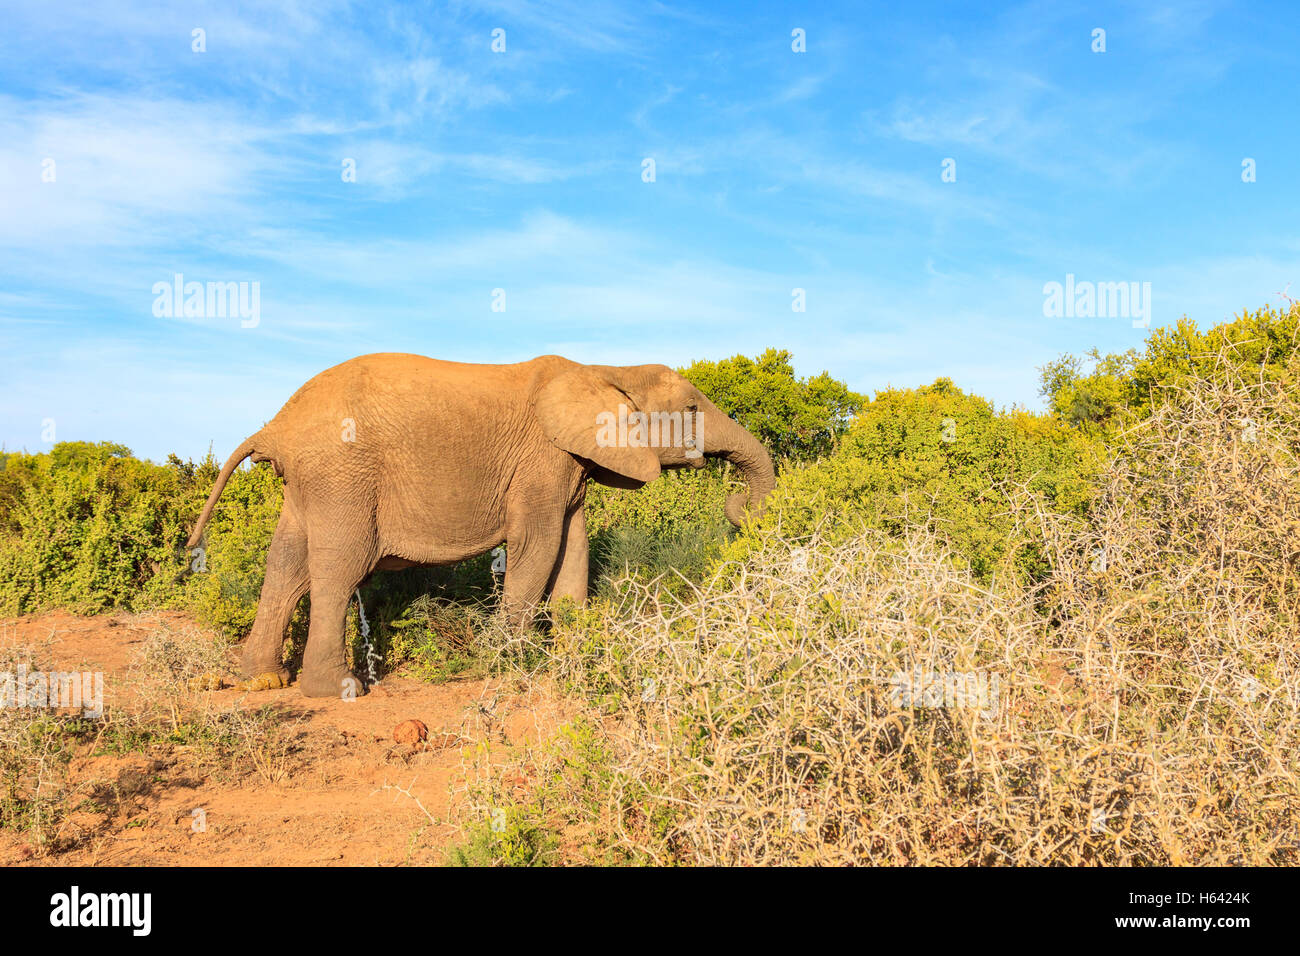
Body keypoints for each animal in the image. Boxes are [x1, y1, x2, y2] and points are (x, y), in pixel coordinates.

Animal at [186, 353, 776, 697]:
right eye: (692, 408)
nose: (736, 501)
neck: (606, 368)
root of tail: (276, 426)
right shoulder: (541, 460)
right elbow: (538, 545)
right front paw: (515, 664)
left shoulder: (569, 464)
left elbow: (574, 547)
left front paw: (575, 654)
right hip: (342, 474)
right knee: (338, 569)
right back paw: (337, 689)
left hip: (309, 484)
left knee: (285, 565)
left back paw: (259, 680)